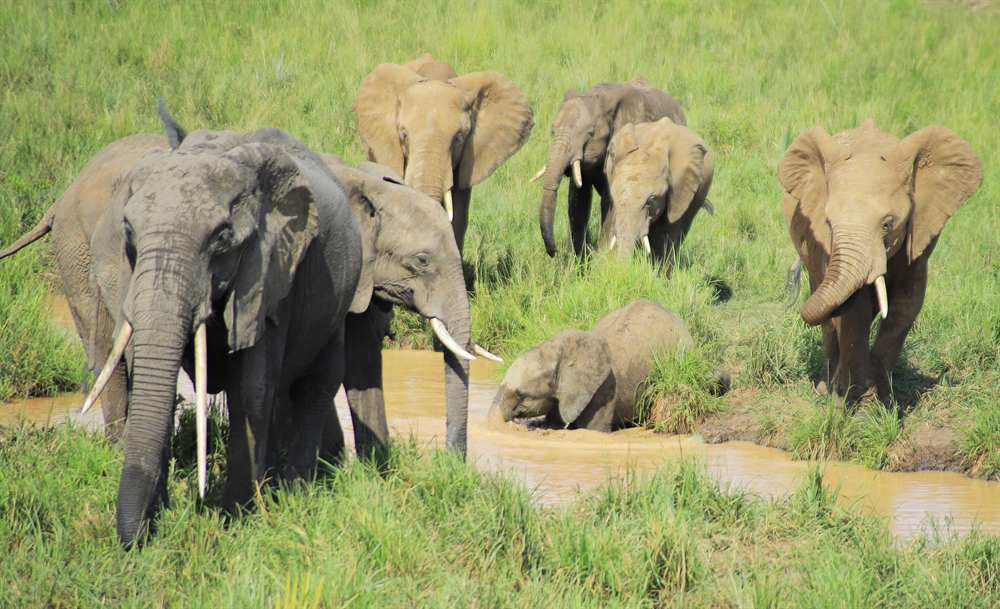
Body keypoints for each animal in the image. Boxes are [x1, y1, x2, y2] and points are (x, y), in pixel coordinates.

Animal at [81, 124, 364, 547]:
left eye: (221, 238)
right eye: (129, 231)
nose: (134, 542)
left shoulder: (270, 270)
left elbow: (251, 389)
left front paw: (236, 521)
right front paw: (161, 518)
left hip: (336, 299)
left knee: (316, 383)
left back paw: (295, 493)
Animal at [535, 78, 686, 258]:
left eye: (590, 133)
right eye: (553, 130)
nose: (553, 252)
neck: (602, 97)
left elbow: (610, 201)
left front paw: (603, 259)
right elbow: (578, 198)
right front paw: (575, 262)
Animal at [780, 119, 982, 404]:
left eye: (888, 224)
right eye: (828, 223)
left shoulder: (921, 232)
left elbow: (905, 305)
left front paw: (882, 403)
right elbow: (854, 308)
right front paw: (858, 404)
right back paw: (827, 389)